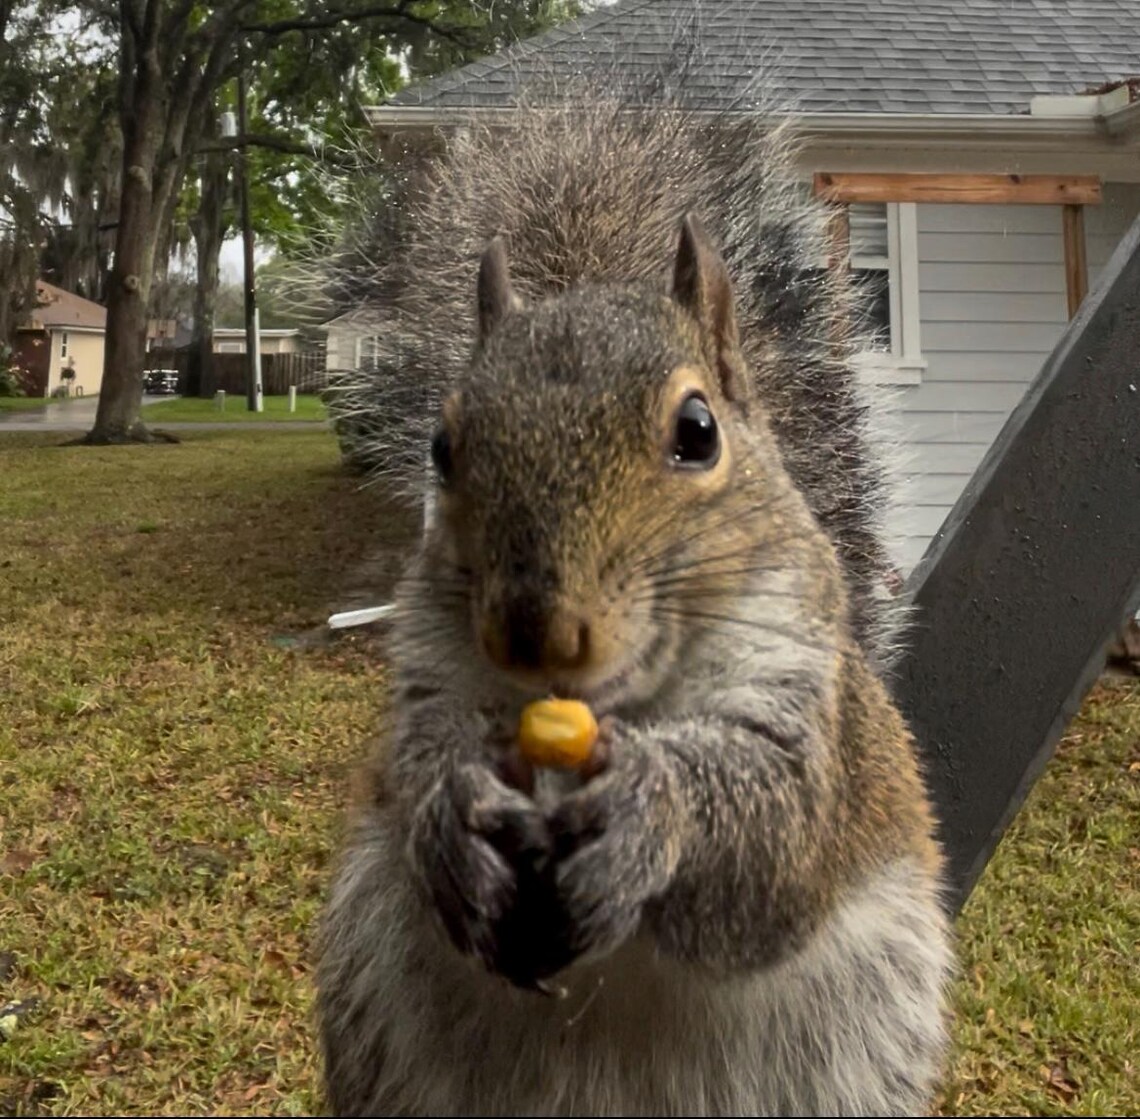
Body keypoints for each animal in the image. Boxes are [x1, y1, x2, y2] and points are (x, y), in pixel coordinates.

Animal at [316, 82, 952, 1117]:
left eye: (698, 431)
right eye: (442, 447)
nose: (535, 632)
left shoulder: (807, 702)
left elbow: (774, 836)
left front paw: (655, 811)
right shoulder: (429, 680)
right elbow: (412, 768)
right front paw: (449, 820)